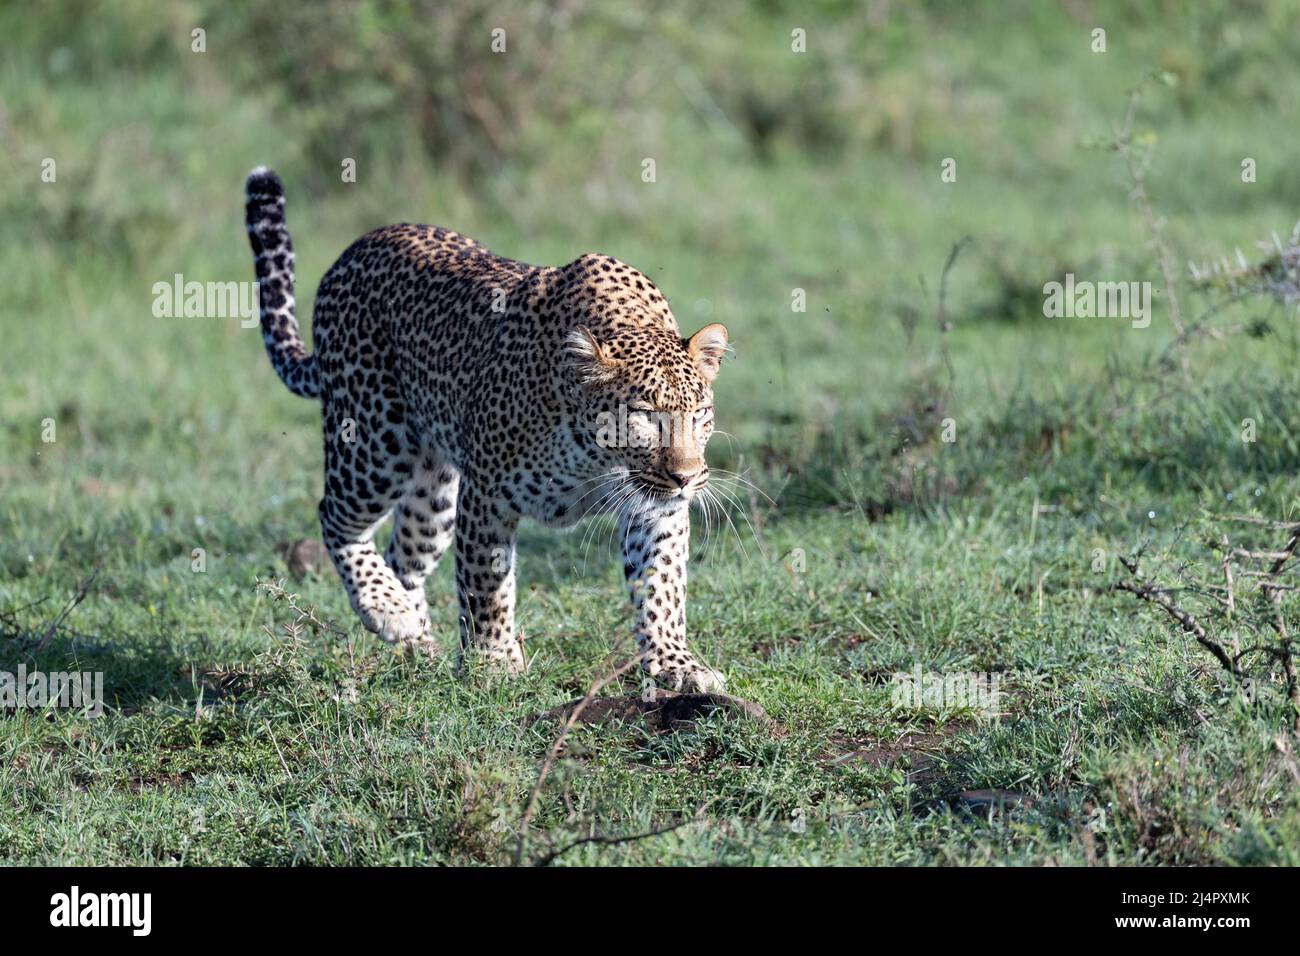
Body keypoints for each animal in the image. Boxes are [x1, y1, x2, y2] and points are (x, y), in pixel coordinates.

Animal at [244, 166, 729, 692]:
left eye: (700, 414)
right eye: (642, 415)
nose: (686, 477)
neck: (597, 458)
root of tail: (353, 250)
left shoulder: (656, 510)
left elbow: (662, 588)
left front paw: (674, 664)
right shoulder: (487, 496)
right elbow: (486, 585)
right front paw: (494, 662)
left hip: (433, 490)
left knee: (404, 557)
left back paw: (419, 648)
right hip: (373, 443)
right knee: (335, 515)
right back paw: (386, 608)